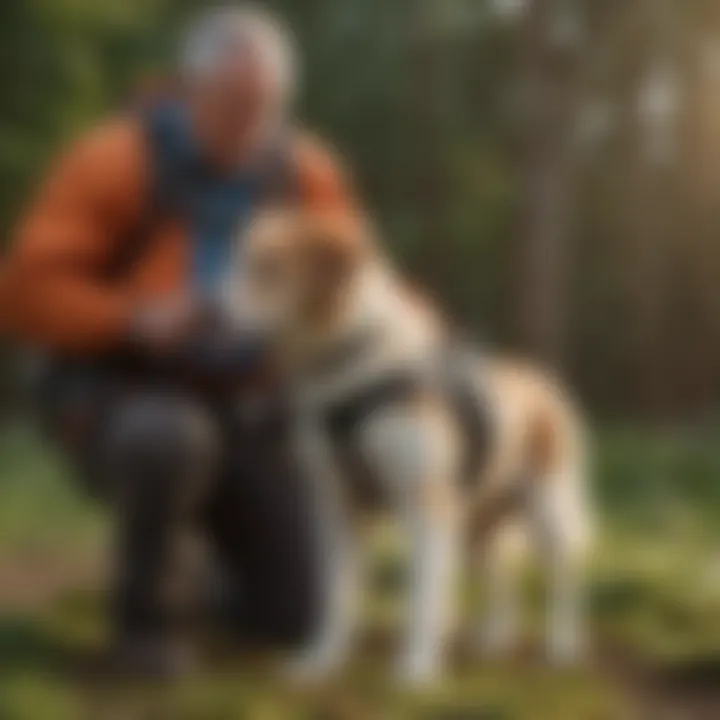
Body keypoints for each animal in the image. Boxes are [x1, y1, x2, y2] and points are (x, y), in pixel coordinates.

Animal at [224, 211, 592, 684]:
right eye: (245, 262)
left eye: (269, 269)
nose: (207, 316)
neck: (349, 359)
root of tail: (544, 385)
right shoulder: (338, 508)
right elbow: (336, 594)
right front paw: (321, 661)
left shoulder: (425, 505)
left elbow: (423, 596)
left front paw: (416, 670)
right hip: (477, 524)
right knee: (500, 576)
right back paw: (495, 640)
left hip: (546, 510)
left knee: (563, 576)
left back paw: (561, 646)